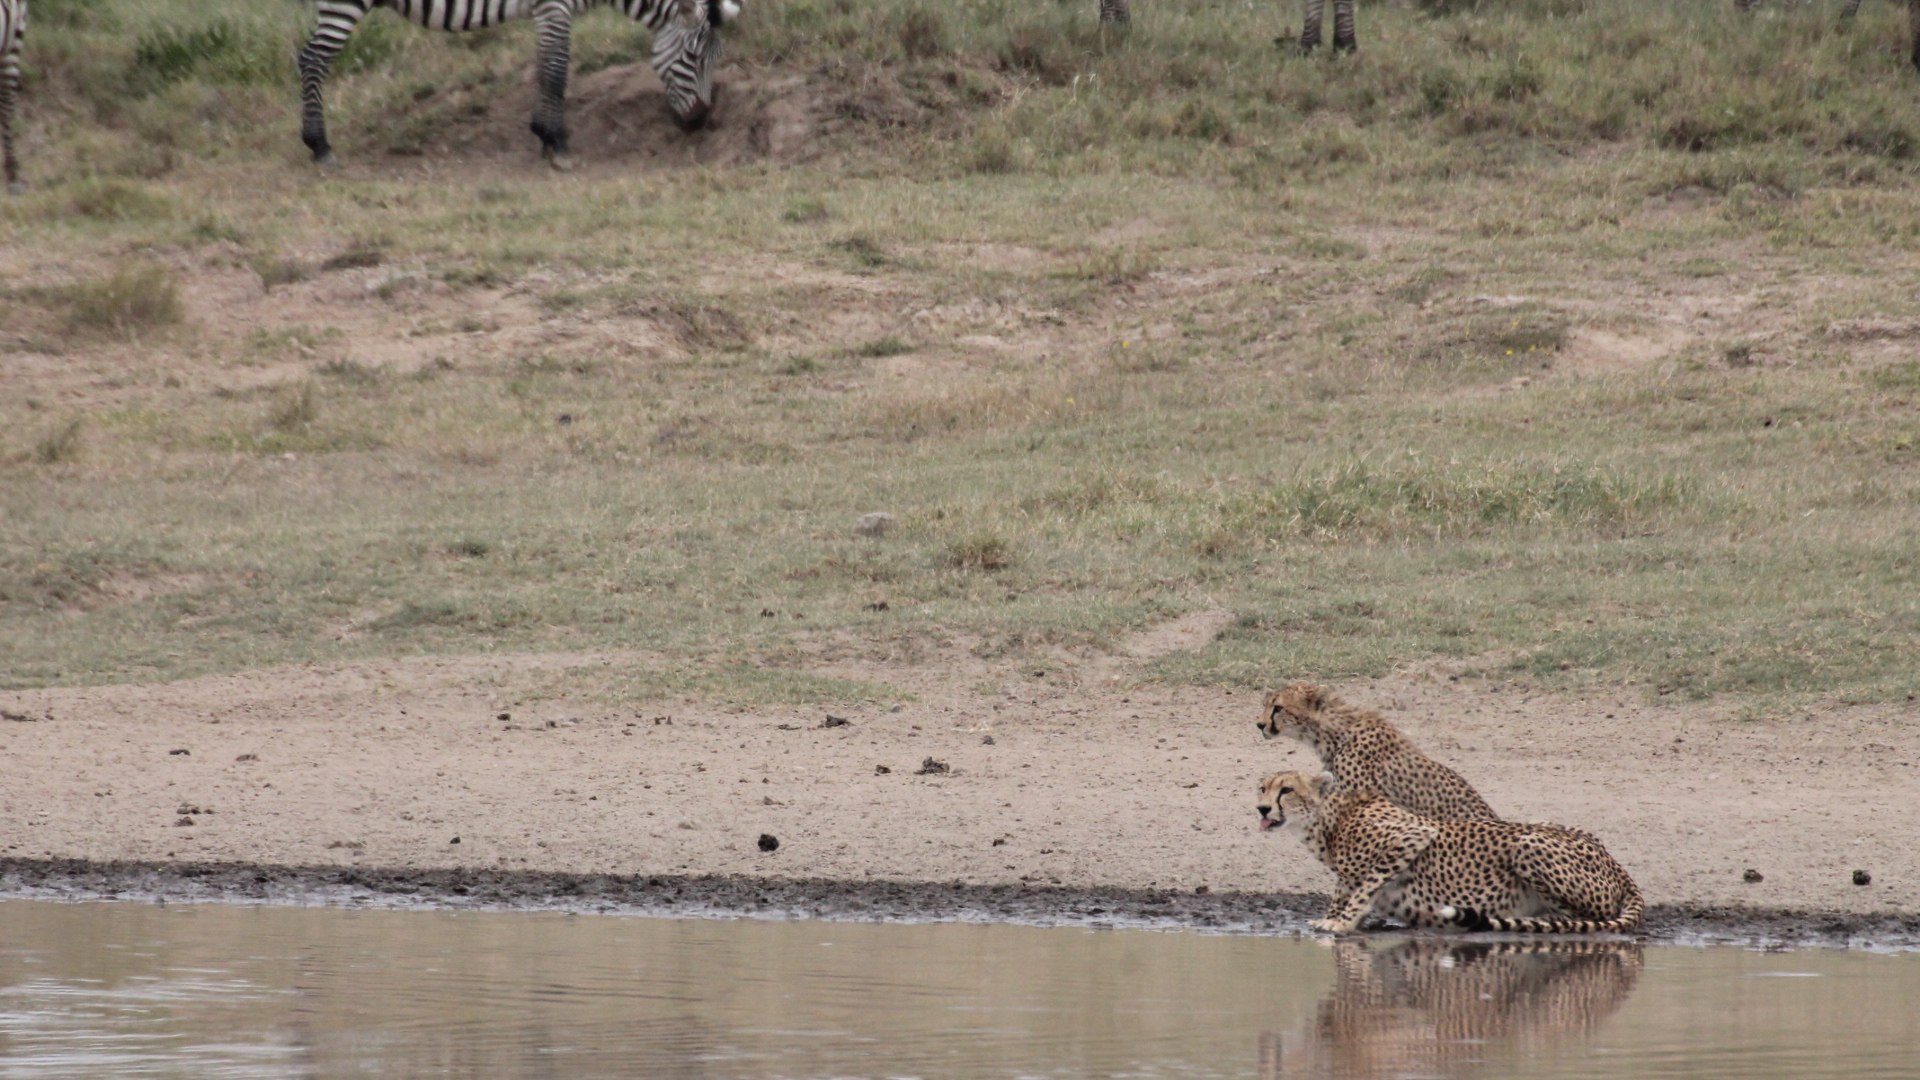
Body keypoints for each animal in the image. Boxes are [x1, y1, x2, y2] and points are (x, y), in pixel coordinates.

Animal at [298, 0, 741, 168]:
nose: (700, 122)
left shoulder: (547, 13)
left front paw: (543, 135)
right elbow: (558, 73)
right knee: (312, 60)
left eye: (715, 59)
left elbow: (545, 70)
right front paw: (557, 144)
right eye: (694, 58)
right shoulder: (556, 9)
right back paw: (319, 145)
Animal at [1256, 770, 1643, 935]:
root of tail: (1614, 862)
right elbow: (1348, 889)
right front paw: (1338, 914)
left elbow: (1366, 886)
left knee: (1590, 915)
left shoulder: (1412, 835)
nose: (1262, 808)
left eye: (1286, 790)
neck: (1330, 822)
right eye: (1262, 787)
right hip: (1542, 823)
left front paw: (1341, 921)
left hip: (1527, 844)